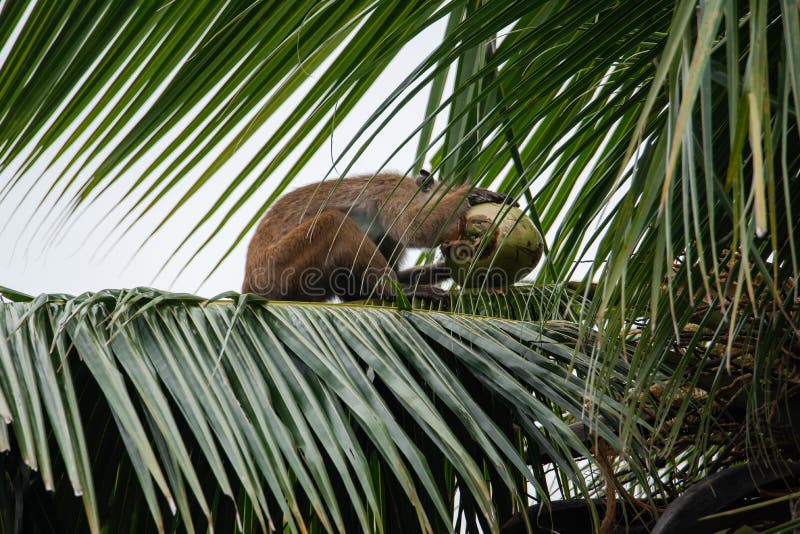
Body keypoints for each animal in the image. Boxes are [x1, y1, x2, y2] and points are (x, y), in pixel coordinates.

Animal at [241, 170, 508, 304]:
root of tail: (249, 284)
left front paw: (447, 267)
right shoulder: (396, 191)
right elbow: (413, 228)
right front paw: (470, 195)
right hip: (277, 270)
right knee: (335, 222)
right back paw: (393, 291)